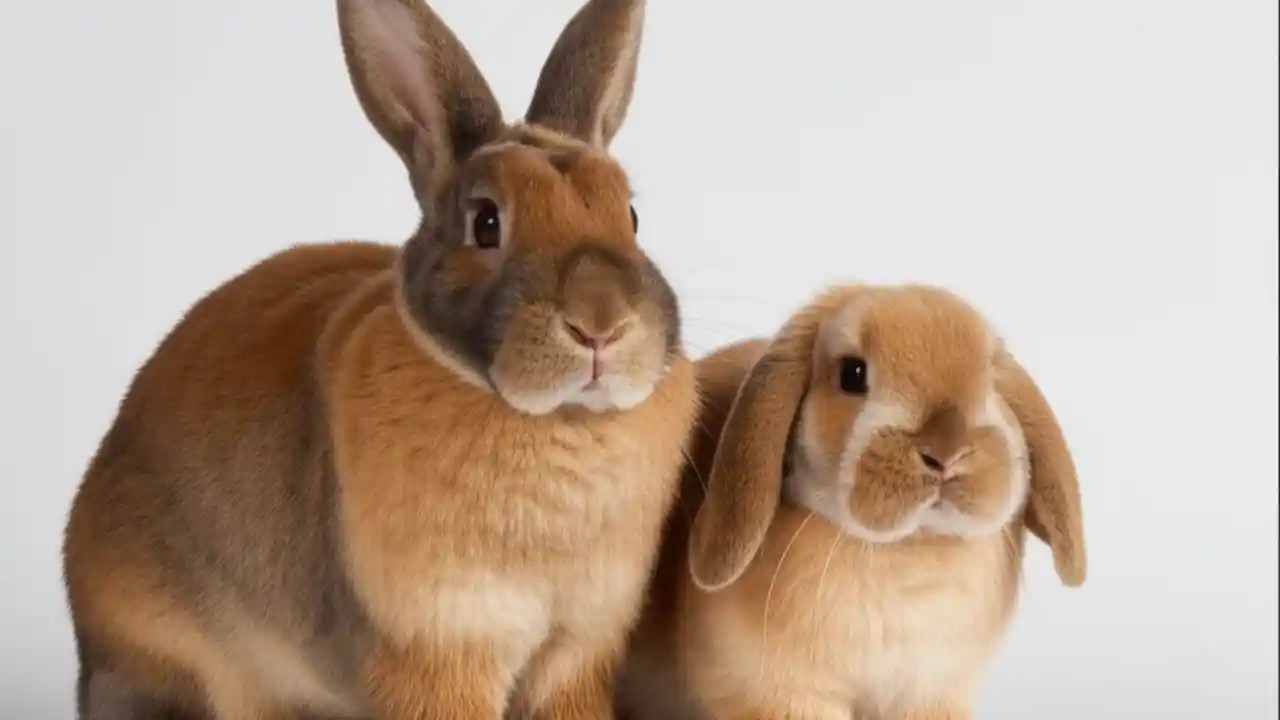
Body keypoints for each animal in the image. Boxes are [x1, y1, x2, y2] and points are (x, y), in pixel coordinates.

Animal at [62, 0, 699, 718]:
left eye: (631, 215)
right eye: (485, 222)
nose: (601, 326)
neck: (553, 420)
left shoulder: (577, 652)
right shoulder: (436, 650)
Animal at [617, 284, 1085, 720]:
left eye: (990, 380)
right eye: (853, 374)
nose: (947, 454)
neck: (910, 548)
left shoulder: (931, 691)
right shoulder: (784, 695)